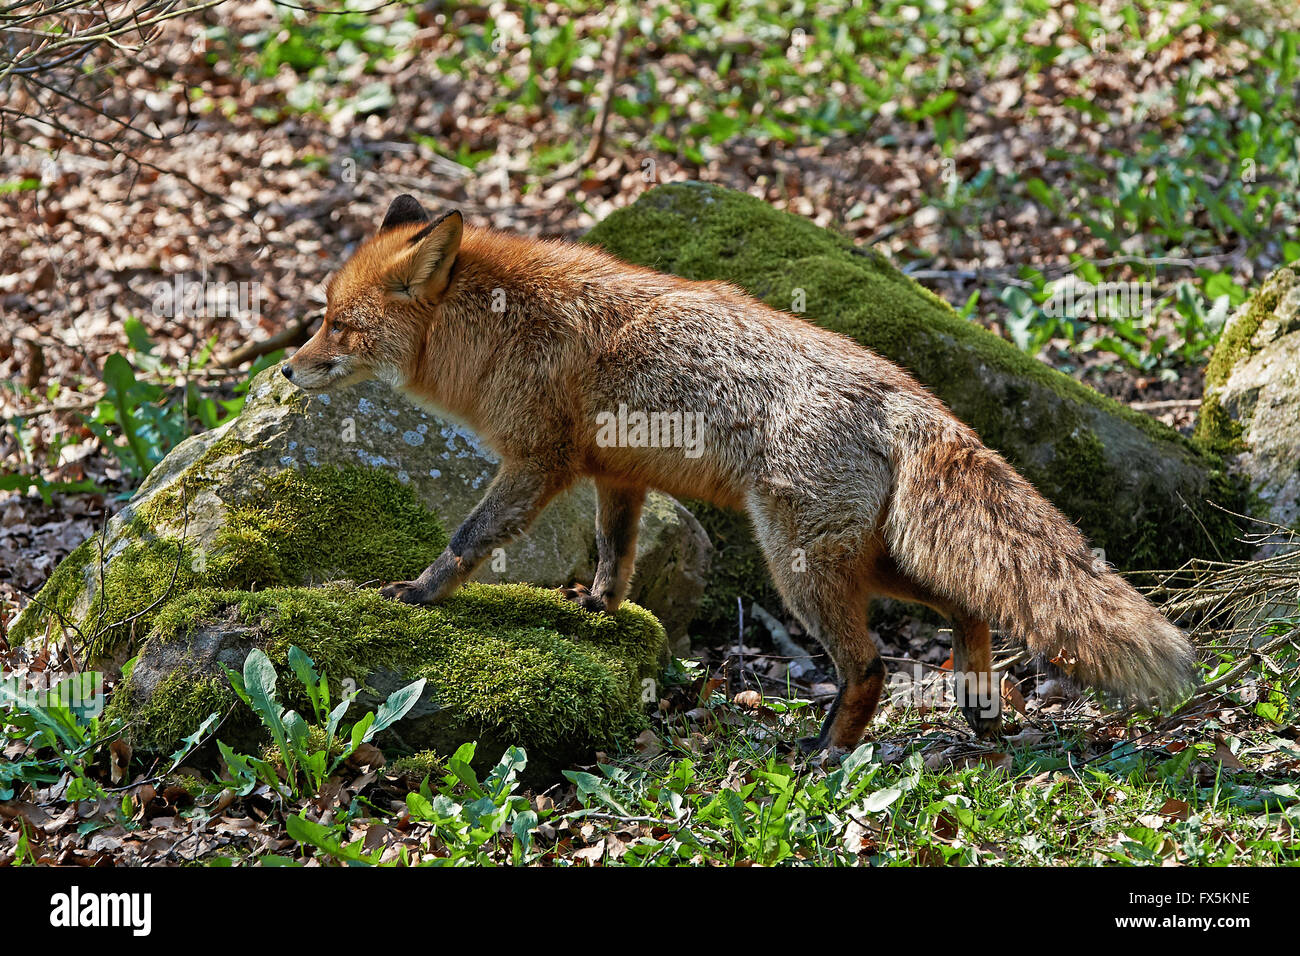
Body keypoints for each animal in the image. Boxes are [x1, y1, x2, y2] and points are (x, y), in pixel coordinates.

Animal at [281, 193, 1197, 752]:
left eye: (339, 325)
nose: (289, 369)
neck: (499, 329)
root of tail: (903, 394)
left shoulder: (536, 463)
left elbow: (467, 541)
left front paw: (415, 595)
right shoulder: (616, 472)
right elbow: (615, 555)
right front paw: (596, 611)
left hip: (798, 567)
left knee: (870, 664)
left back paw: (827, 752)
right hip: (866, 561)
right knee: (969, 603)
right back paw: (975, 705)